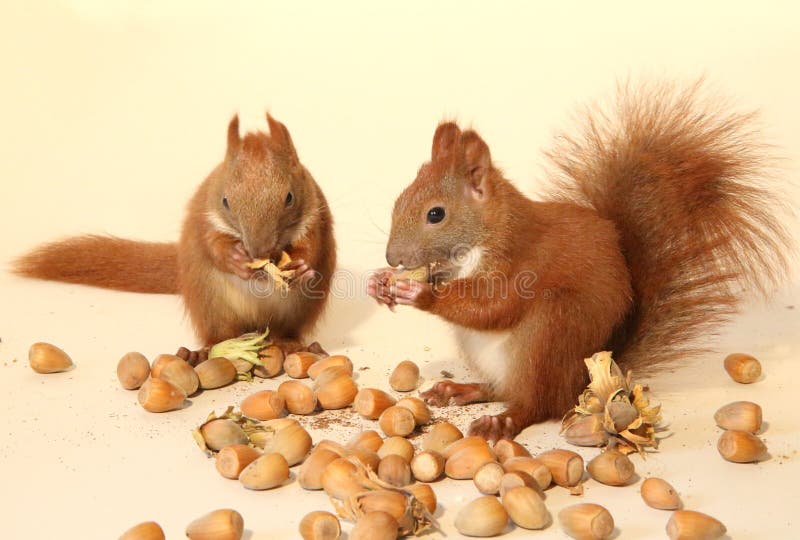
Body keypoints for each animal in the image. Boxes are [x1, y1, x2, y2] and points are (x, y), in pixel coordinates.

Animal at [13, 113, 336, 350]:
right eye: (225, 201)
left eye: (289, 197)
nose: (258, 250)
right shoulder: (205, 216)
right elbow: (211, 244)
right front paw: (234, 259)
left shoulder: (315, 212)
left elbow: (312, 244)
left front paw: (300, 266)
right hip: (211, 306)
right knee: (219, 334)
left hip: (297, 312)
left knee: (284, 331)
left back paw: (288, 344)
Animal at [367, 81, 792, 442]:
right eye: (399, 200)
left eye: (436, 214)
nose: (392, 257)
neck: (486, 235)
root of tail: (585, 378)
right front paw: (380, 282)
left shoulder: (521, 262)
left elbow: (491, 306)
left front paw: (420, 294)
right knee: (504, 388)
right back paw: (460, 389)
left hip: (549, 334)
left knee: (536, 402)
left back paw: (501, 421)